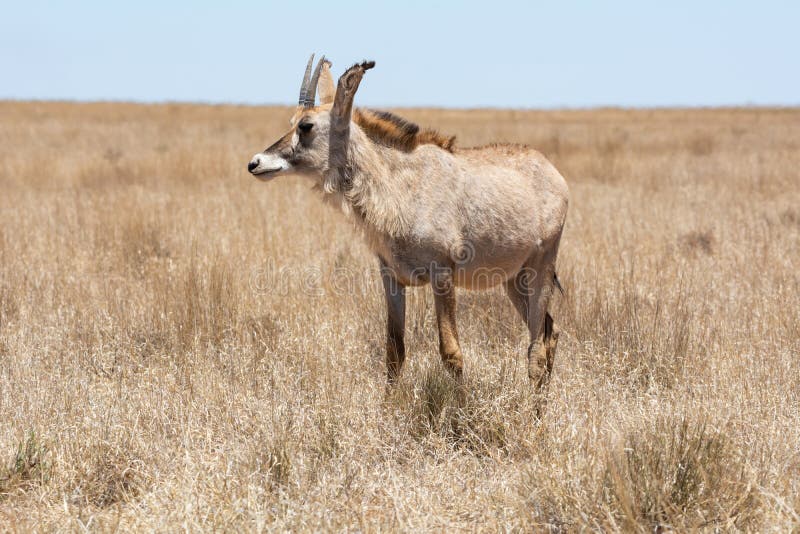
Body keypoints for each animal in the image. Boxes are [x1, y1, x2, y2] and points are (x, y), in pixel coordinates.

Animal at [248, 55, 569, 389]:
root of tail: (552, 173)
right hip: (513, 279)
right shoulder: (391, 276)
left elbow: (451, 352)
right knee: (550, 331)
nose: (255, 163)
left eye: (307, 125)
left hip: (541, 267)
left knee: (537, 344)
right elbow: (394, 350)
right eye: (293, 122)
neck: (398, 185)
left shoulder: (442, 274)